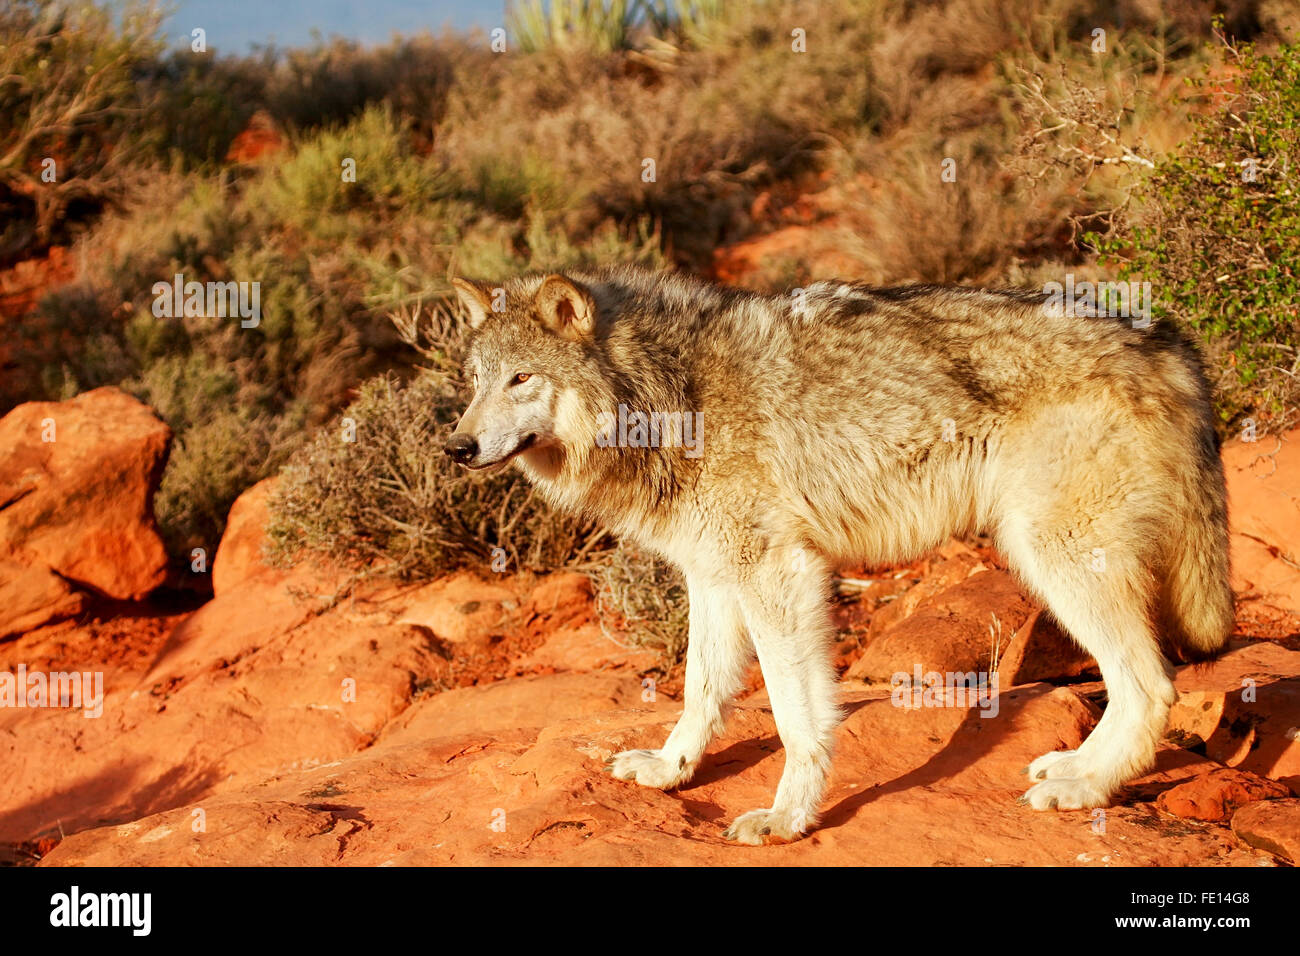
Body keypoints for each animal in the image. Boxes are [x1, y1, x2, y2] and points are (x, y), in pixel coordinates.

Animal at [444, 265, 1232, 844]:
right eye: (475, 382)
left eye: (521, 378)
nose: (456, 446)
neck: (667, 392)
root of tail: (1169, 339)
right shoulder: (714, 576)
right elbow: (701, 689)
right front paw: (672, 770)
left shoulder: (778, 573)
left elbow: (796, 716)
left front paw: (788, 818)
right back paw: (1077, 767)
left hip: (1054, 557)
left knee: (1151, 687)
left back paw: (1084, 789)